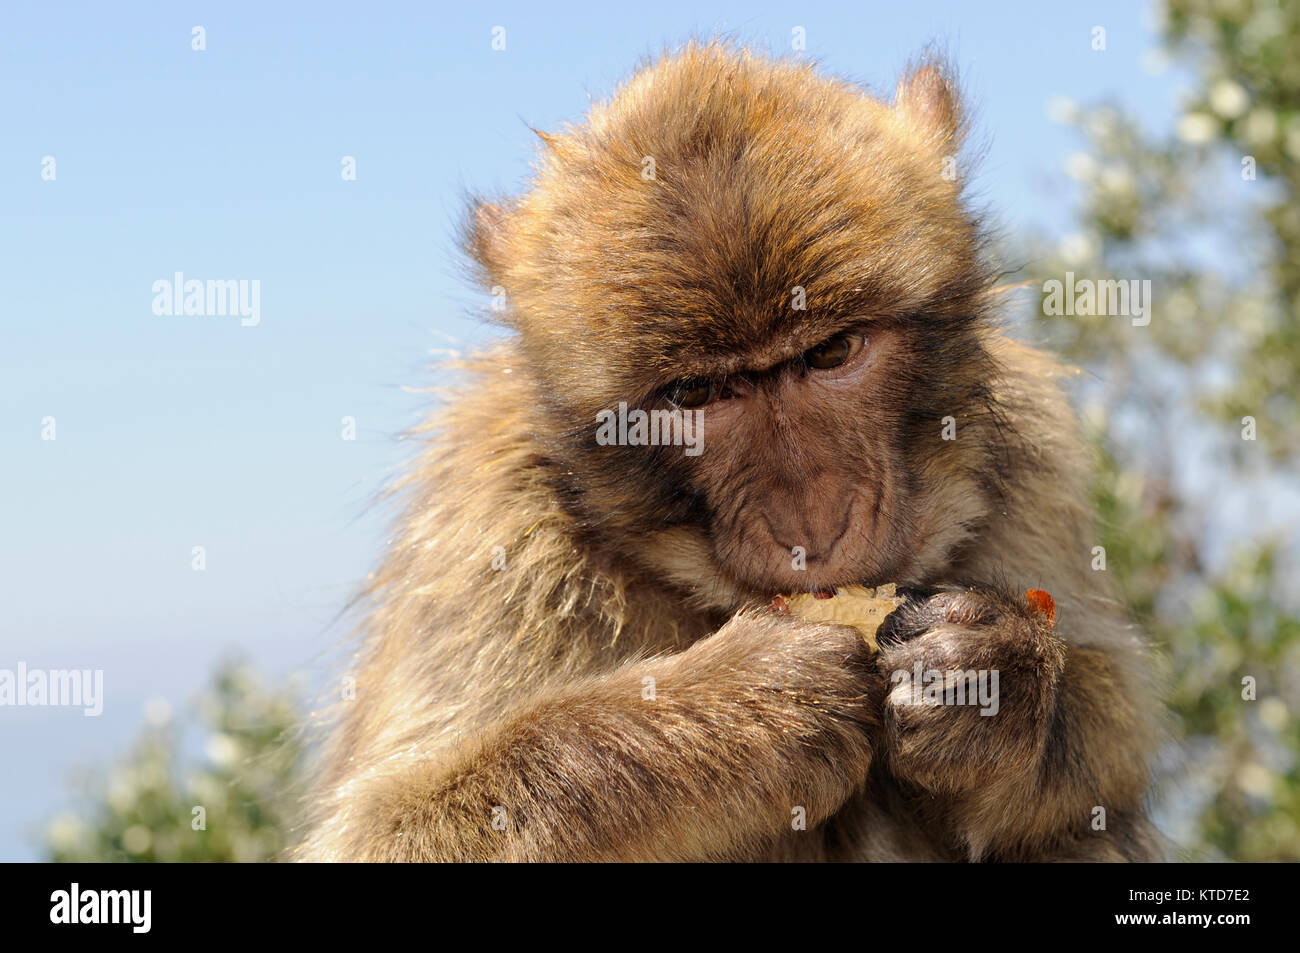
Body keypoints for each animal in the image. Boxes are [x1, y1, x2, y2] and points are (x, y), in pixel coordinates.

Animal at [297, 41, 1167, 862]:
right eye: (696, 394)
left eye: (831, 351)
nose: (812, 519)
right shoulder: (492, 520)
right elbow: (386, 829)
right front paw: (747, 706)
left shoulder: (1031, 445)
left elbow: (1111, 734)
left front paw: (998, 679)